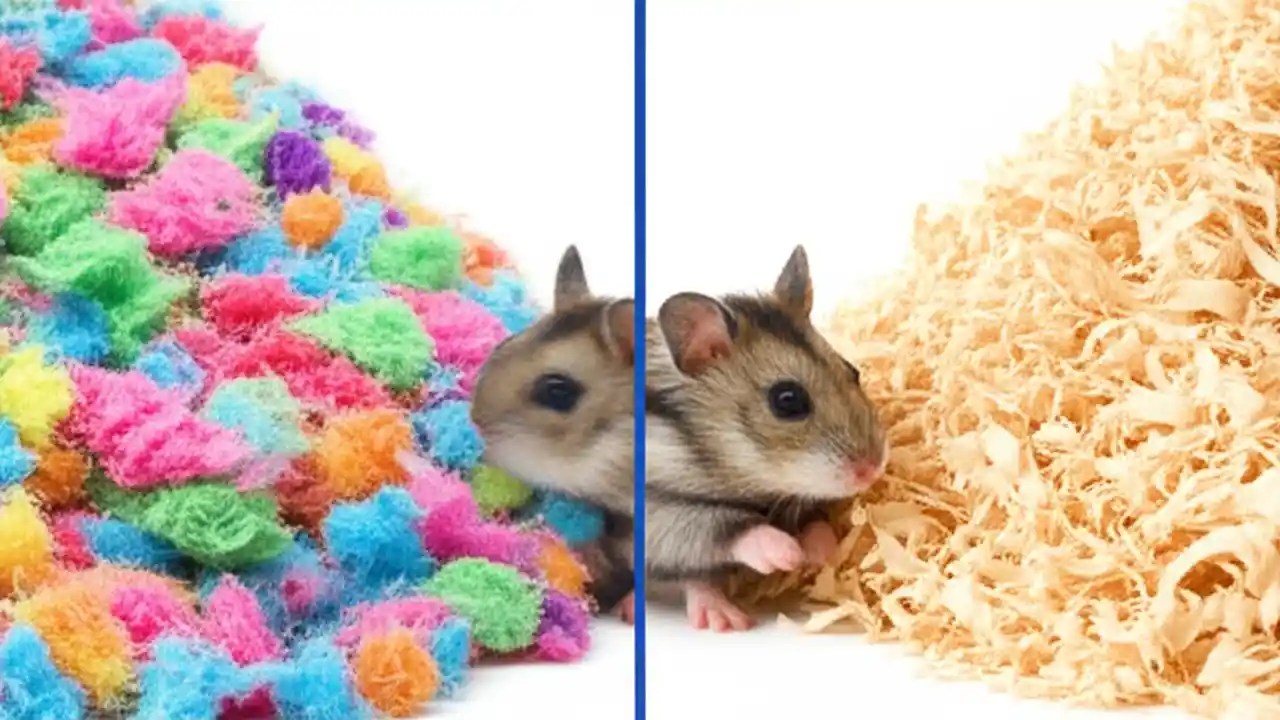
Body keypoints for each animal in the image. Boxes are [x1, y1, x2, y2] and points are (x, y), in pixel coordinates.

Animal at [644, 245, 887, 631]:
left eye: (852, 370)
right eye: (787, 400)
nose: (874, 468)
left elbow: (815, 520)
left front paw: (820, 552)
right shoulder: (653, 513)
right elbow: (716, 532)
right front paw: (787, 555)